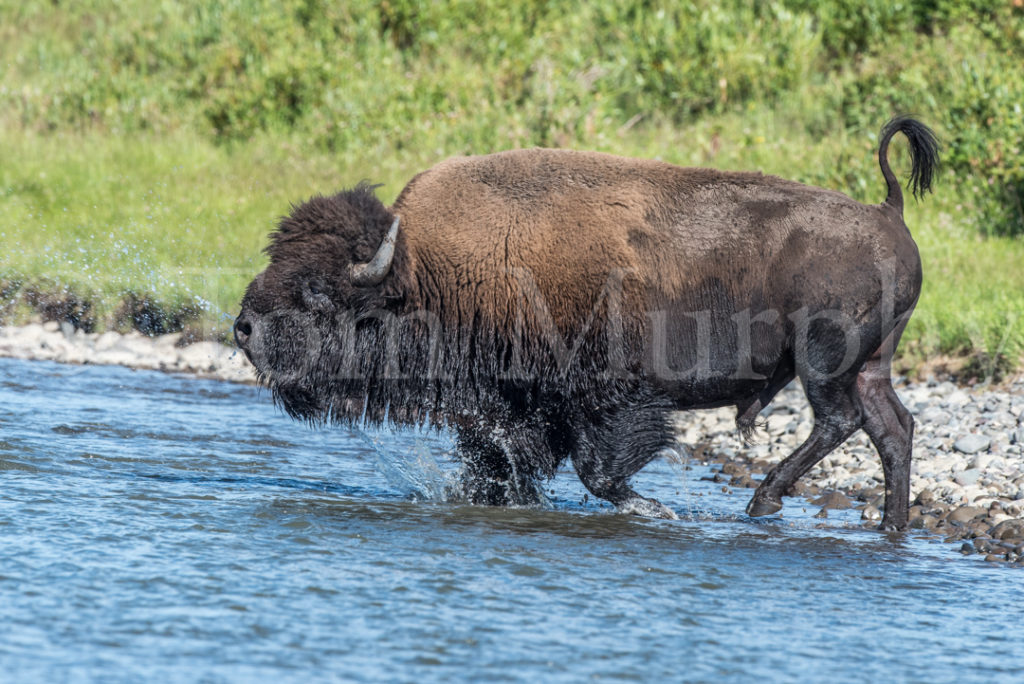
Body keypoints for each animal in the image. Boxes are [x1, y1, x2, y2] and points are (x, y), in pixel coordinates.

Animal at [234, 117, 938, 530]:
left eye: (319, 292)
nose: (243, 329)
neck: (427, 272)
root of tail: (887, 212)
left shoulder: (606, 397)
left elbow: (599, 471)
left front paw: (652, 507)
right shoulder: (514, 404)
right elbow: (503, 466)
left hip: (824, 361)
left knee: (842, 421)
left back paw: (764, 502)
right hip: (870, 364)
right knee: (892, 429)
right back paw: (890, 526)